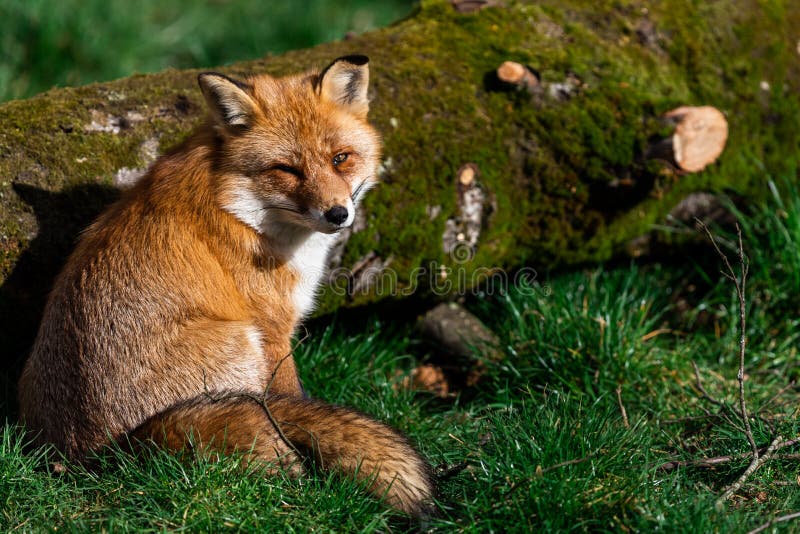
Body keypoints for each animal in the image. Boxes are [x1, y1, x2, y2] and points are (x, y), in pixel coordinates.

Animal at [17, 55, 435, 517]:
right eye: (286, 170)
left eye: (341, 158)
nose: (338, 214)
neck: (239, 204)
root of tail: (102, 457)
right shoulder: (272, 328)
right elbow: (292, 394)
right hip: (240, 341)